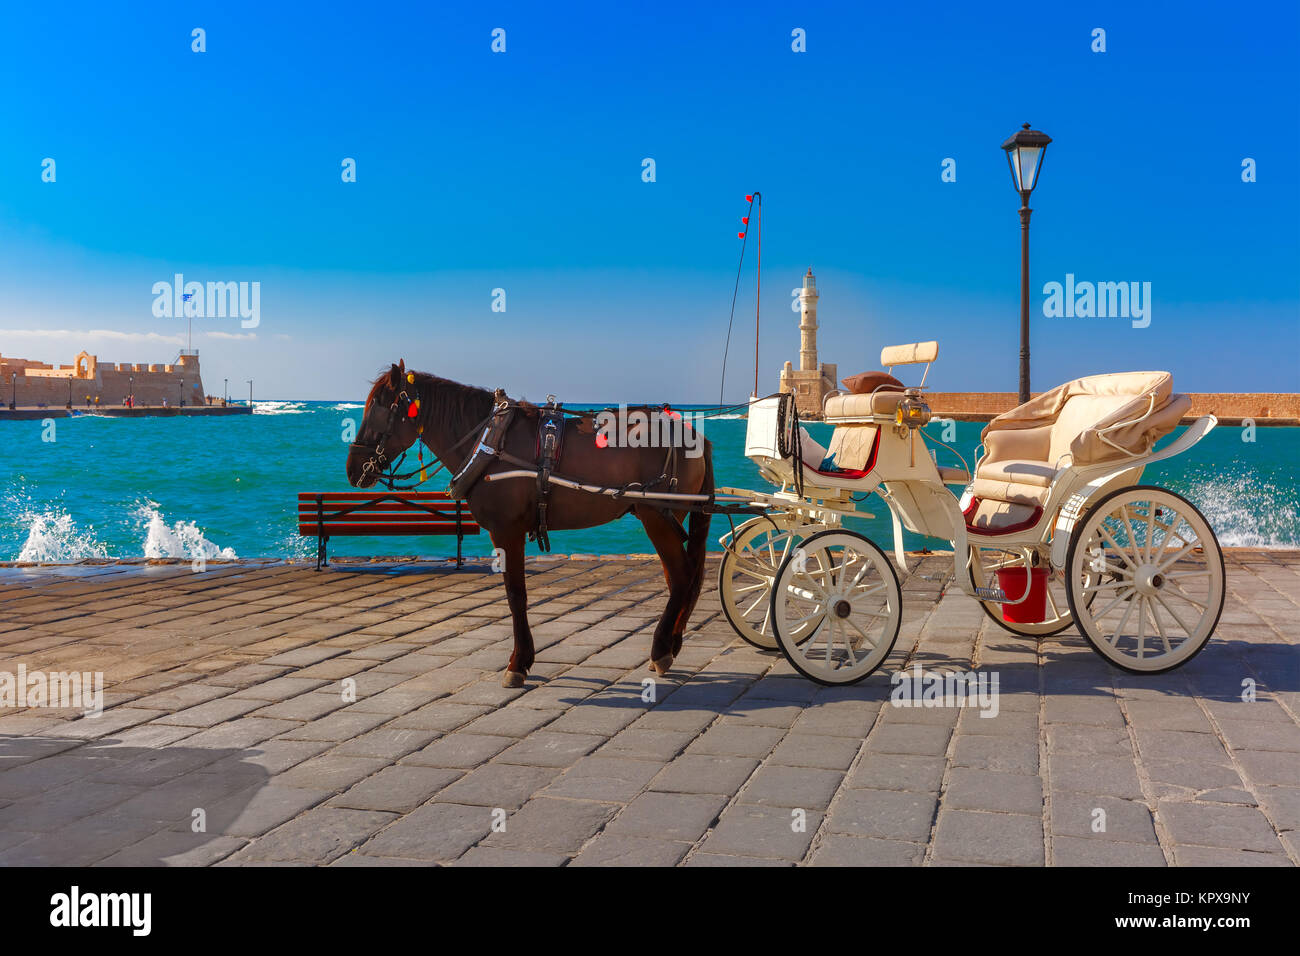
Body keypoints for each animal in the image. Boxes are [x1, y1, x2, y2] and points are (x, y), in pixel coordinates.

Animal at [345, 361, 714, 688]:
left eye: (378, 408)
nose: (352, 468)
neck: (489, 440)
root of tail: (697, 436)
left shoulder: (507, 530)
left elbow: (515, 595)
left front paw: (518, 663)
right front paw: (522, 659)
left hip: (657, 516)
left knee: (682, 577)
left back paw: (661, 650)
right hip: (668, 518)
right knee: (680, 579)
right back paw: (670, 645)